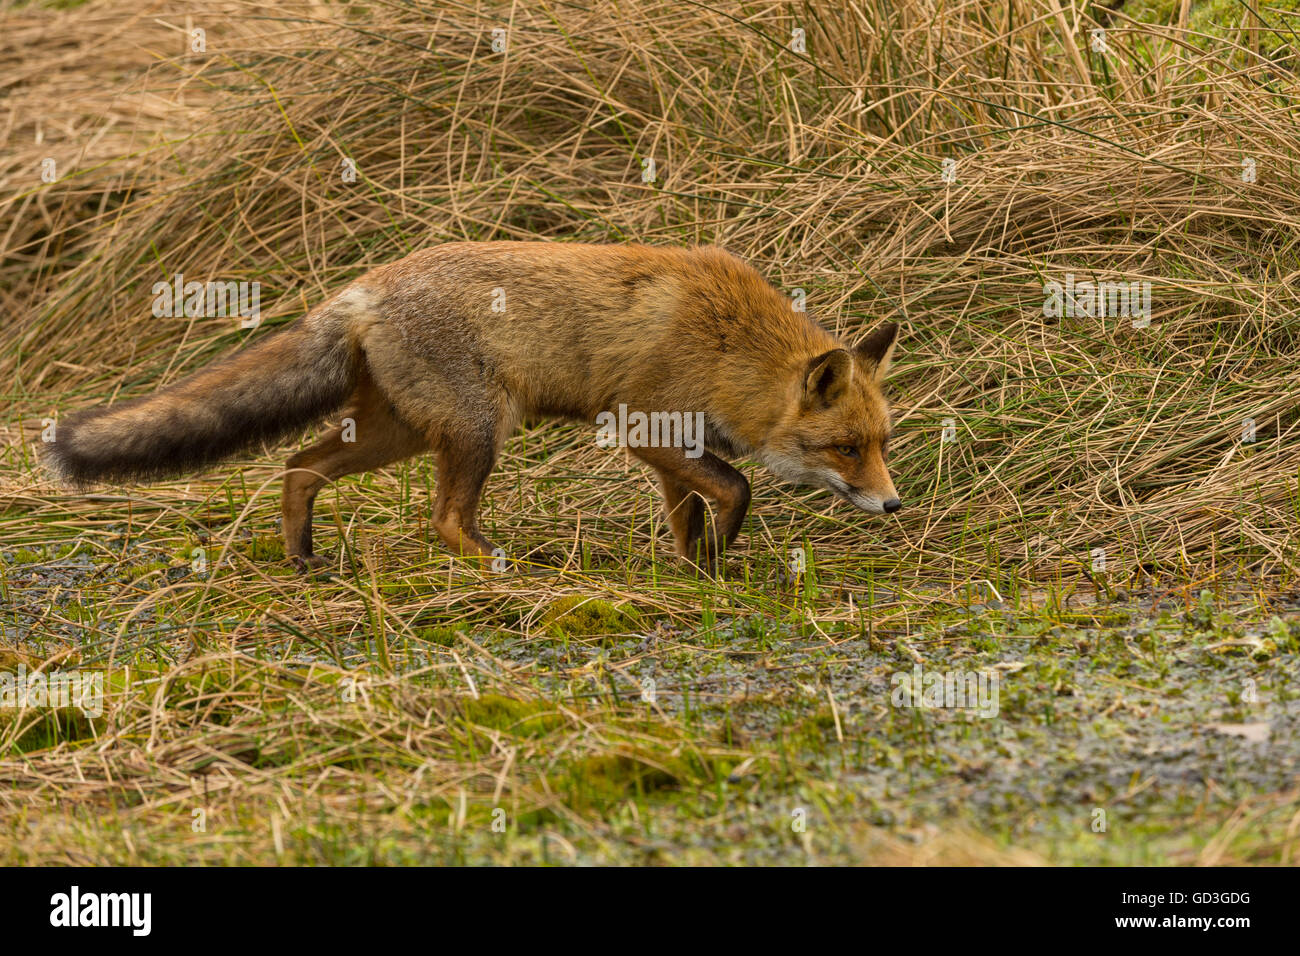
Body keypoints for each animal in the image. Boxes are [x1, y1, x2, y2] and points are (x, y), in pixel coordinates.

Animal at [44, 242, 902, 571]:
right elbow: (737, 487)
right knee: (445, 519)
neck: (729, 345)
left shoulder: (673, 447)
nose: (894, 504)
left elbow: (691, 508)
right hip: (477, 431)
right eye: (846, 448)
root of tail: (364, 286)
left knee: (298, 465)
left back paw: (303, 558)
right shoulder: (641, 427)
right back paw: (504, 568)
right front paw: (720, 559)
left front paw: (696, 570)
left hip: (395, 434)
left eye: (882, 443)